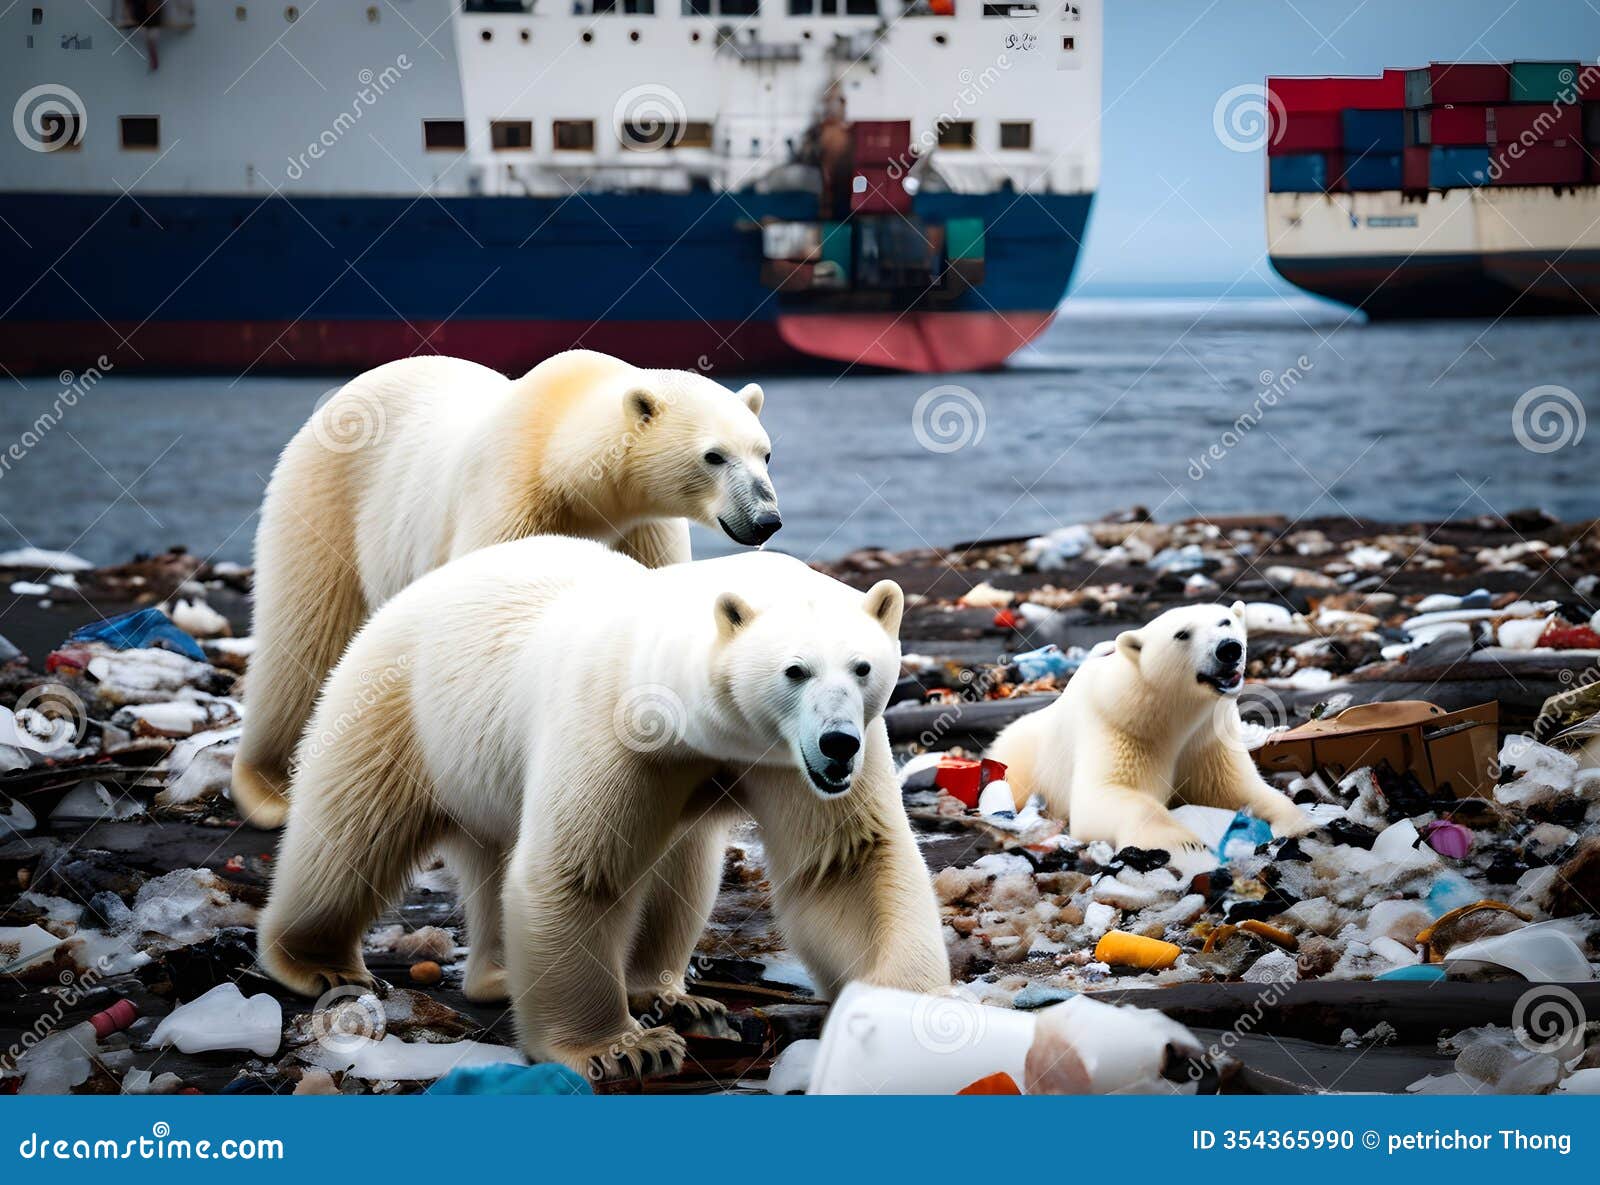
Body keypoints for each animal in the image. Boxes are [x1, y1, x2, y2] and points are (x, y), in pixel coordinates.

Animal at [232, 349, 779, 830]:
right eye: (714, 456)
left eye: (765, 454)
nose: (766, 520)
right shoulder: (509, 499)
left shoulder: (641, 528)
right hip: (327, 499)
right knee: (304, 637)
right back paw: (271, 789)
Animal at [255, 535, 949, 1080]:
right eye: (794, 671)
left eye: (862, 667)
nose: (837, 744)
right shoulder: (616, 728)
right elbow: (577, 871)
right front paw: (621, 1049)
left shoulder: (782, 761)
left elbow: (846, 867)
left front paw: (901, 1012)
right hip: (396, 704)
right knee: (350, 832)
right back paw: (318, 965)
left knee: (669, 869)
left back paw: (647, 993)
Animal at [988, 602, 1313, 855]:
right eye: (1182, 634)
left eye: (1225, 622)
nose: (1229, 649)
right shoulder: (1121, 729)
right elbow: (1108, 793)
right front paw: (1181, 841)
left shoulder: (1207, 739)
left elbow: (1235, 788)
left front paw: (1294, 821)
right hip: (1020, 761)